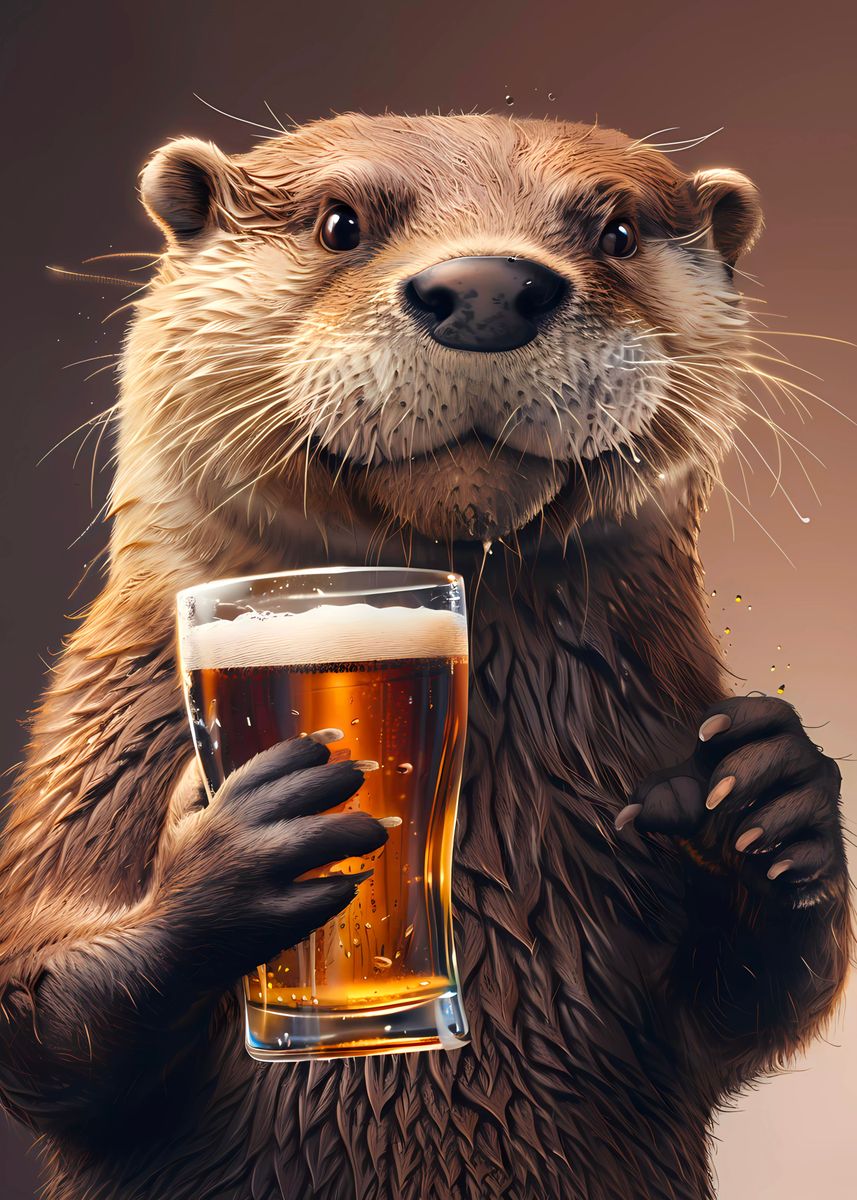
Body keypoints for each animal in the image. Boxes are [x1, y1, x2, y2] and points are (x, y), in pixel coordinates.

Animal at [0, 113, 850, 1200]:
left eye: (616, 229)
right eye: (339, 222)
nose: (487, 287)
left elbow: (753, 1008)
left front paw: (768, 799)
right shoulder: (99, 752)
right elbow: (43, 1007)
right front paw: (242, 848)